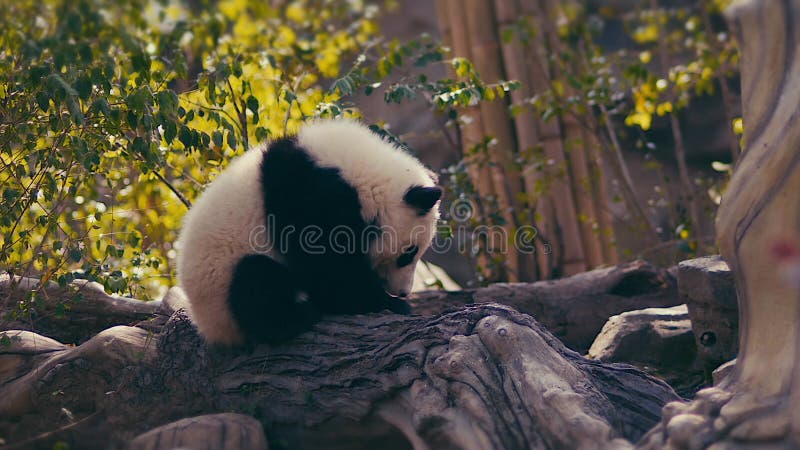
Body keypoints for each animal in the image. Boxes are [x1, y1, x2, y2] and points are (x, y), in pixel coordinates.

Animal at [176, 119, 442, 345]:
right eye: (408, 254)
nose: (403, 292)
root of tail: (207, 326)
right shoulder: (310, 197)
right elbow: (326, 267)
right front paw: (387, 303)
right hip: (220, 284)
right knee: (256, 283)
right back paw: (300, 315)